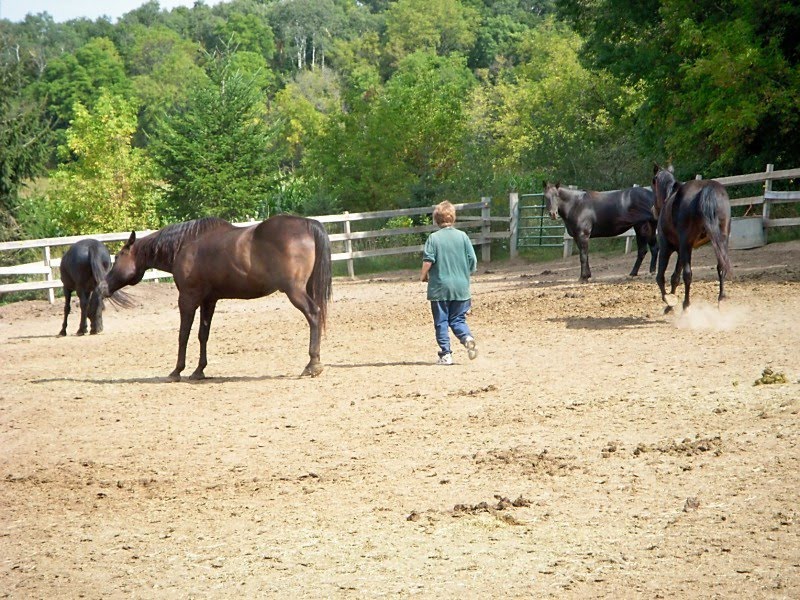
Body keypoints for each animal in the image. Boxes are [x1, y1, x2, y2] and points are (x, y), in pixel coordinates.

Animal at [98, 215, 332, 381]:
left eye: (118, 256)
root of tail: (307, 224)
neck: (185, 245)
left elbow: (183, 335)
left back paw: (312, 365)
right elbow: (203, 335)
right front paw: (199, 370)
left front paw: (177, 371)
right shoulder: (208, 301)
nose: (102, 287)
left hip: (295, 291)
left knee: (314, 314)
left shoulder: (187, 299)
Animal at [651, 164, 732, 312]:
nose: (653, 209)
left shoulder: (667, 247)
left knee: (687, 274)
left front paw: (669, 301)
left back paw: (686, 305)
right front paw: (670, 305)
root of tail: (707, 189)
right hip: (721, 240)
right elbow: (675, 277)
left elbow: (661, 277)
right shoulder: (682, 250)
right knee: (721, 266)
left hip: (685, 245)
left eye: (653, 182)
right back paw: (721, 300)